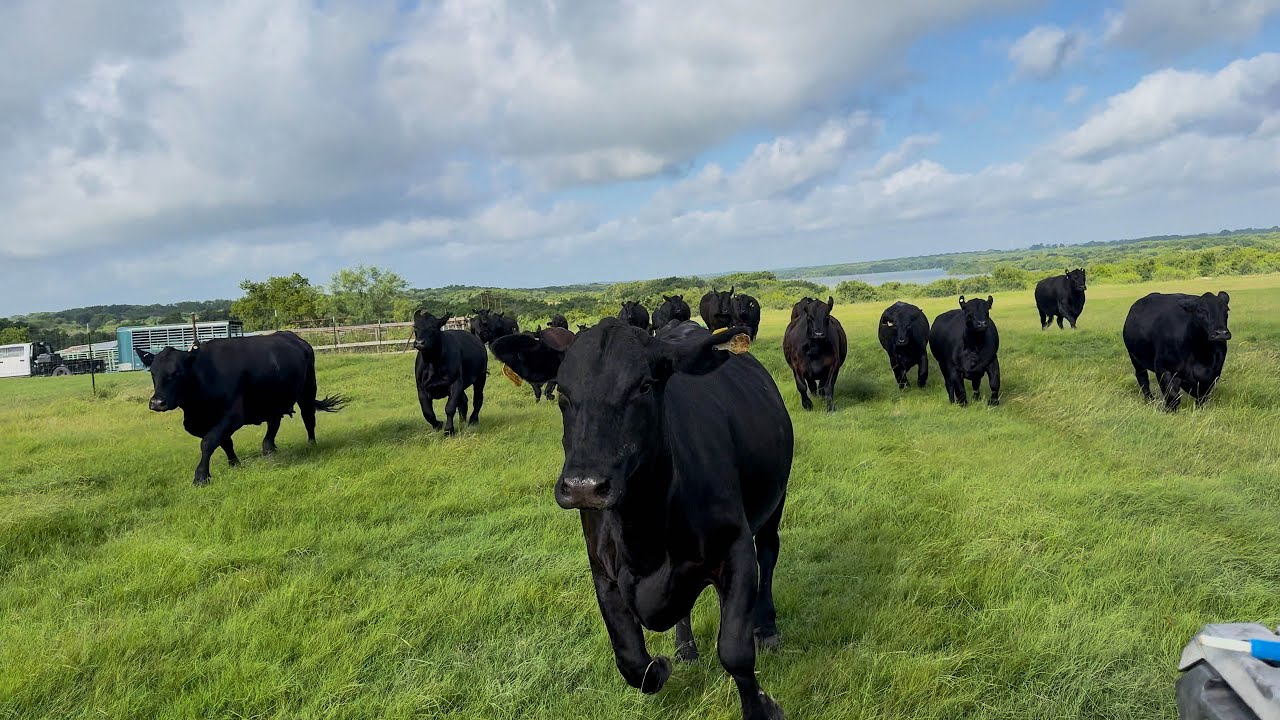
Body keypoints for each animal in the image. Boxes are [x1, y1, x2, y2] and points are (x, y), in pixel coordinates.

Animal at [138, 331, 345, 486]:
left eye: (177, 372)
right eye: (152, 372)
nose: (157, 402)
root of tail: (293, 337)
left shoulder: (233, 415)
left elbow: (208, 442)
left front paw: (201, 476)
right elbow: (224, 442)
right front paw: (234, 463)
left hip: (307, 390)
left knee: (308, 417)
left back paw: (311, 444)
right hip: (272, 399)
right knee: (274, 423)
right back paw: (268, 448)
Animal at [532, 318, 792, 720]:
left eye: (643, 386)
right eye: (562, 391)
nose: (584, 487)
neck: (646, 535)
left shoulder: (735, 547)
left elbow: (734, 649)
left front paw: (762, 706)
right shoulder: (603, 572)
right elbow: (631, 662)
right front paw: (663, 665)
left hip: (773, 505)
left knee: (768, 555)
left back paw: (765, 627)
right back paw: (685, 648)